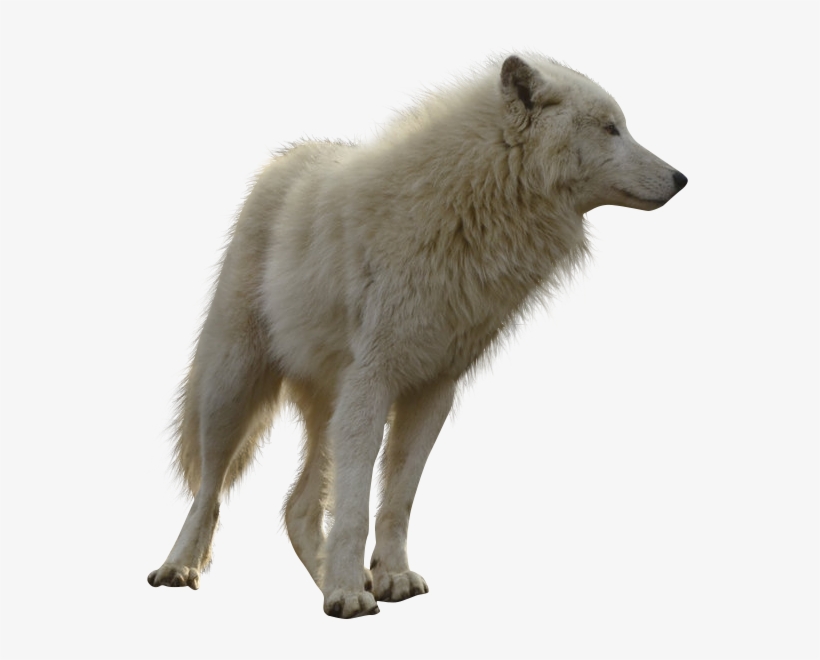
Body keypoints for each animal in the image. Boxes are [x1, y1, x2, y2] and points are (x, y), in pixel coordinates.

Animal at [147, 54, 687, 618]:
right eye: (611, 128)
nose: (682, 178)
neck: (471, 205)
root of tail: (288, 157)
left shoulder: (433, 389)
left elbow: (397, 499)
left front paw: (387, 578)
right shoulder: (374, 381)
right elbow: (355, 506)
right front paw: (348, 592)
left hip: (328, 408)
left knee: (296, 507)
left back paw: (329, 579)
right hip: (232, 388)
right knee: (209, 490)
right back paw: (179, 568)